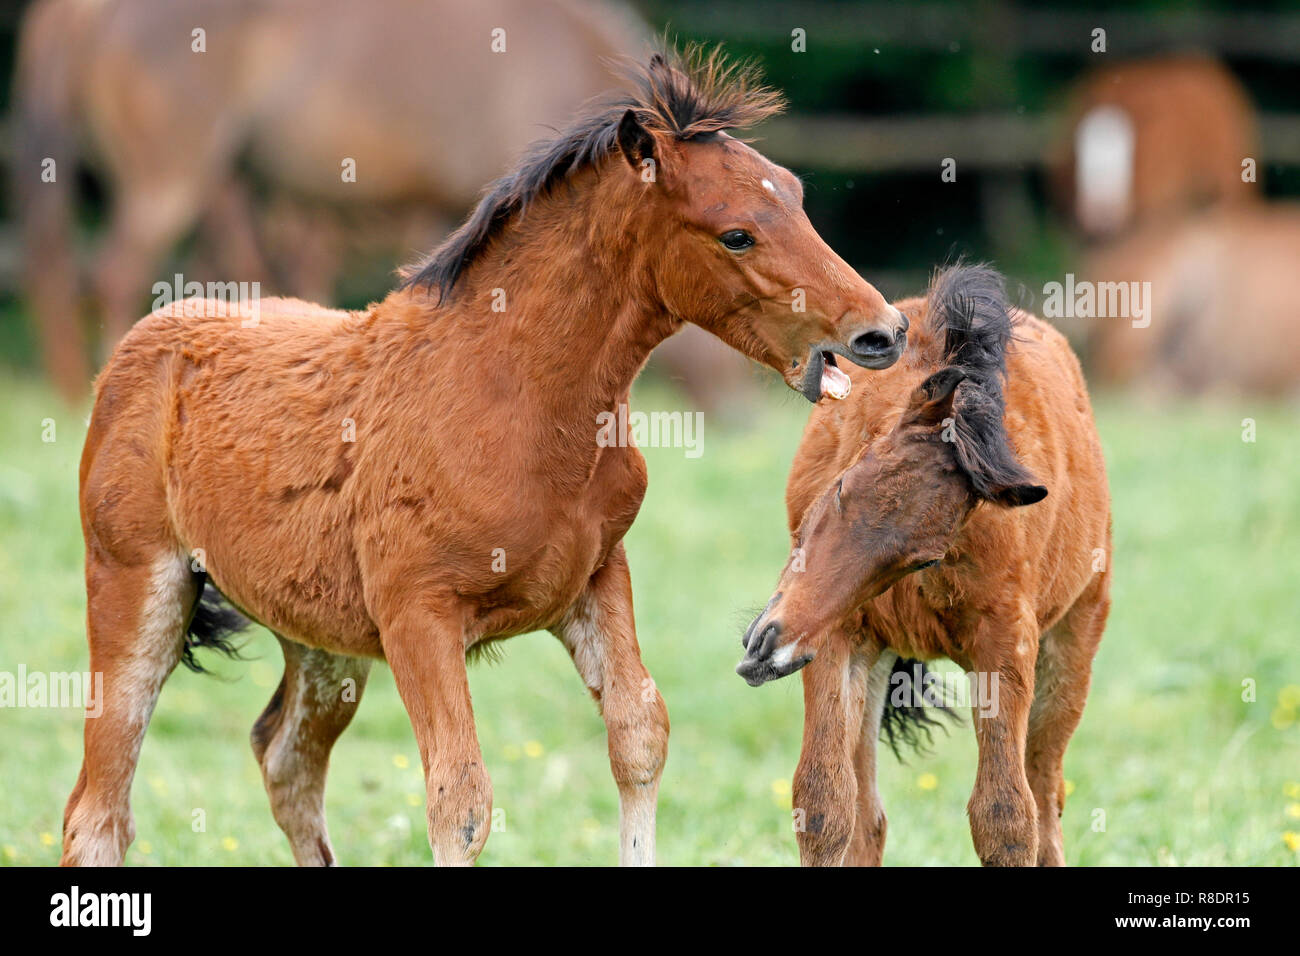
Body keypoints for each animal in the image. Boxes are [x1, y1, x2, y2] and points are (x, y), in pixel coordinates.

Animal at [61, 48, 911, 867]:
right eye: (736, 233)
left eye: (796, 196)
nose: (883, 331)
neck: (515, 394)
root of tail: (143, 340)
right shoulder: (419, 614)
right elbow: (460, 800)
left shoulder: (594, 580)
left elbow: (640, 738)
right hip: (137, 586)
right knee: (98, 808)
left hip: (321, 642)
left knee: (286, 764)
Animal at [736, 265, 1111, 866]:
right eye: (840, 487)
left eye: (922, 556)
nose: (766, 644)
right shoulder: (836, 635)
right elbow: (823, 804)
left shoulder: (1007, 645)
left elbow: (1006, 815)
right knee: (866, 812)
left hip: (1074, 644)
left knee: (1046, 798)